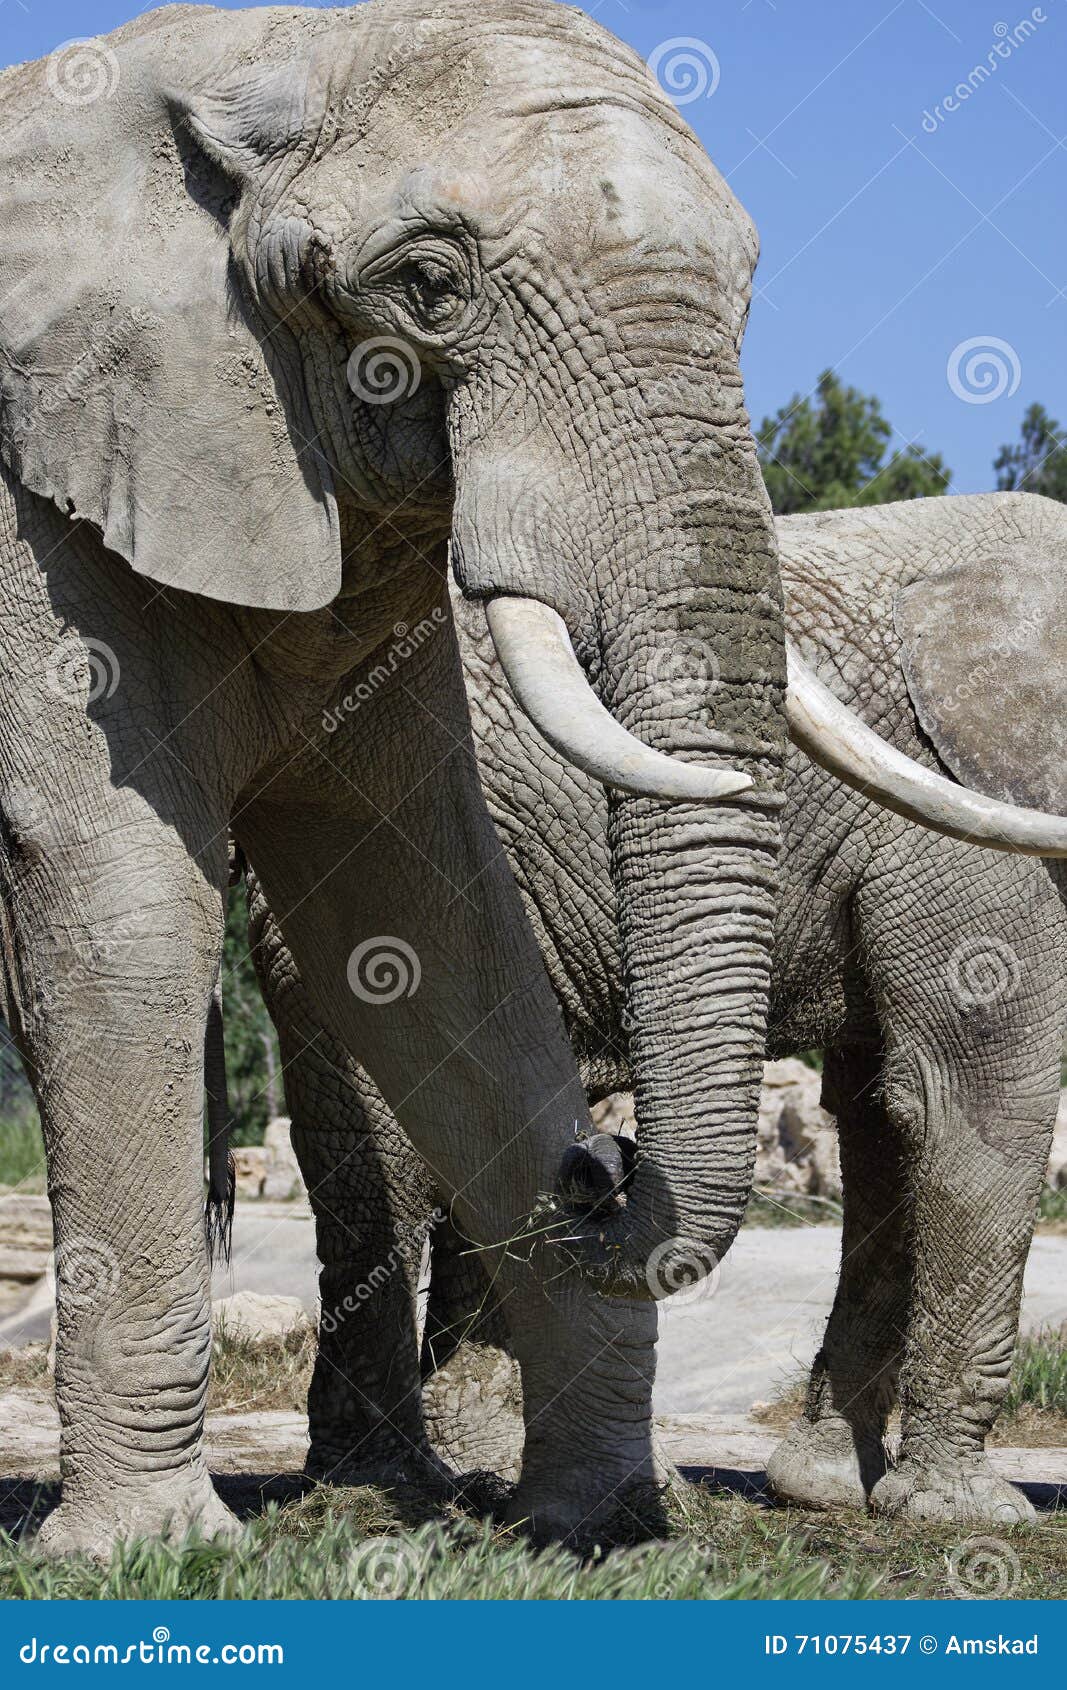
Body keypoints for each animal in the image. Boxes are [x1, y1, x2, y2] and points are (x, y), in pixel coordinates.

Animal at [249, 488, 1067, 1527]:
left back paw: (494, 1473)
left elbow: (884, 1113)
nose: (612, 1166)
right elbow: (971, 1090)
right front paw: (964, 1514)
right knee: (401, 1149)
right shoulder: (958, 819)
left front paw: (825, 1489)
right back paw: (417, 1481)